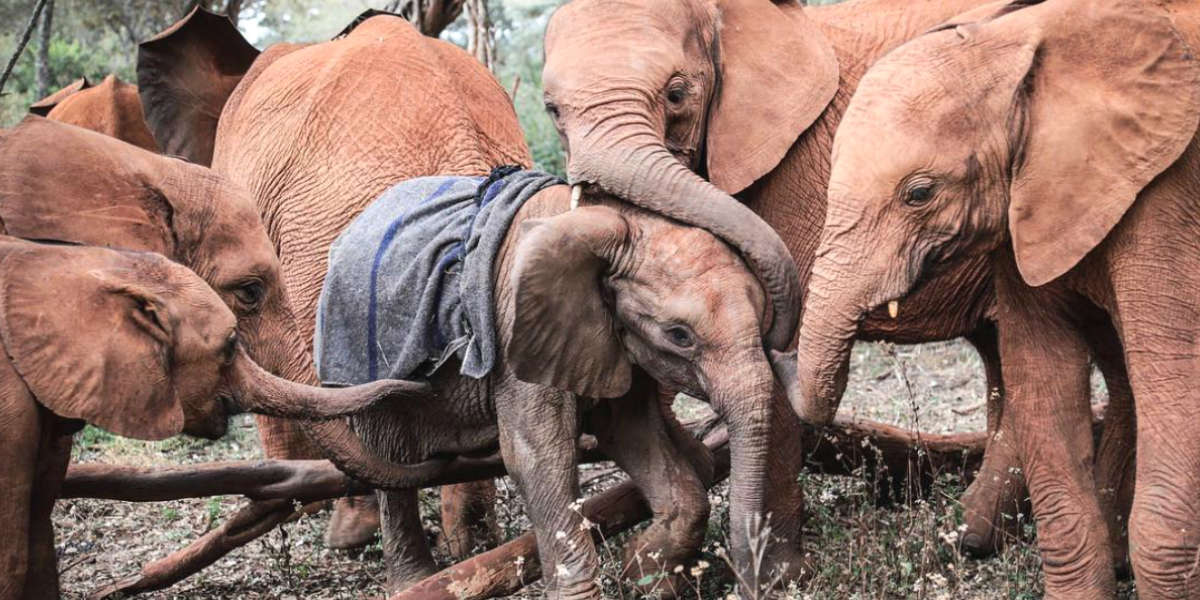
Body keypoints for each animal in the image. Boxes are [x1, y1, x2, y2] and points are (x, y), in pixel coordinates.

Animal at [135, 7, 798, 589]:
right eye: (678, 335)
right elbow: (542, 450)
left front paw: (644, 572)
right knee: (384, 441)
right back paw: (424, 566)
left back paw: (454, 548)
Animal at [539, 0, 1136, 562]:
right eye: (552, 111)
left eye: (677, 93)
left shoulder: (795, 172)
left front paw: (774, 575)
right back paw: (977, 536)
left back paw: (975, 537)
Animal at [790, 0, 1200, 596]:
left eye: (919, 193)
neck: (1015, 45)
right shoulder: (1028, 207)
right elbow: (1042, 375)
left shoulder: (1167, 198)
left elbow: (1173, 376)